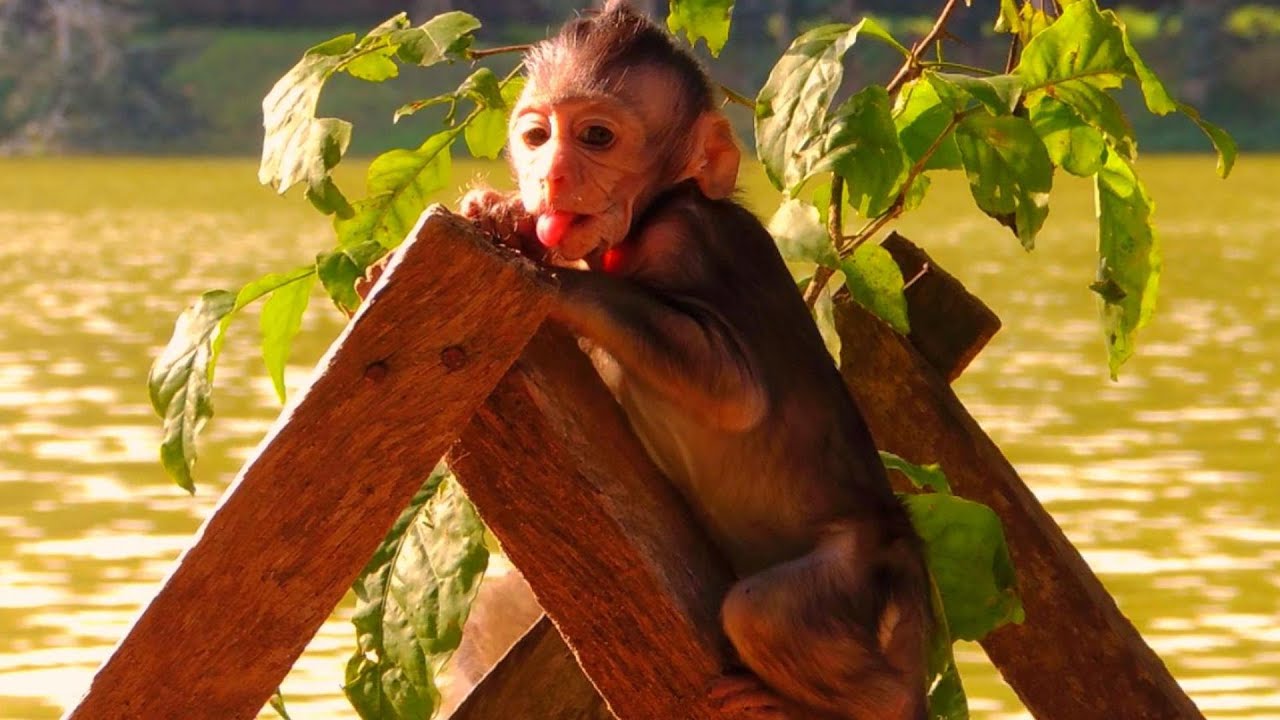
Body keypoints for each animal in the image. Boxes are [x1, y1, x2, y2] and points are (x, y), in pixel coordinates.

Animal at [453, 3, 933, 718]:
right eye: (537, 136)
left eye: (596, 137)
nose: (551, 176)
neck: (650, 213)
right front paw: (502, 213)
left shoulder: (682, 237)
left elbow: (735, 392)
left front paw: (558, 280)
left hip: (861, 574)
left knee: (764, 614)